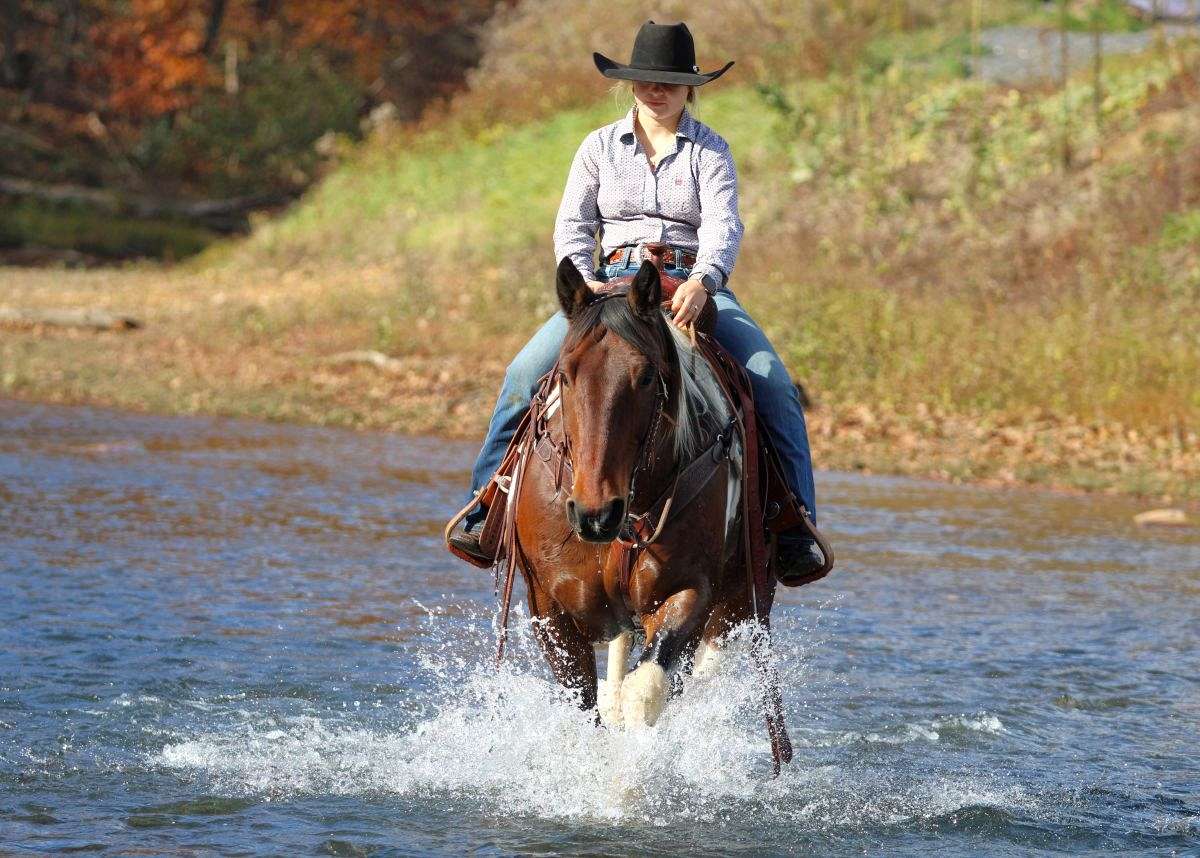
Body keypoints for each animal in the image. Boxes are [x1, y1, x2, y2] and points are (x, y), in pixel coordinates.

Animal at [497, 257, 792, 764]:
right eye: (566, 374)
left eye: (647, 376)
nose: (595, 513)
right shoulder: (548, 608)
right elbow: (586, 705)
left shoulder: (688, 594)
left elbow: (647, 693)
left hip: (740, 601)